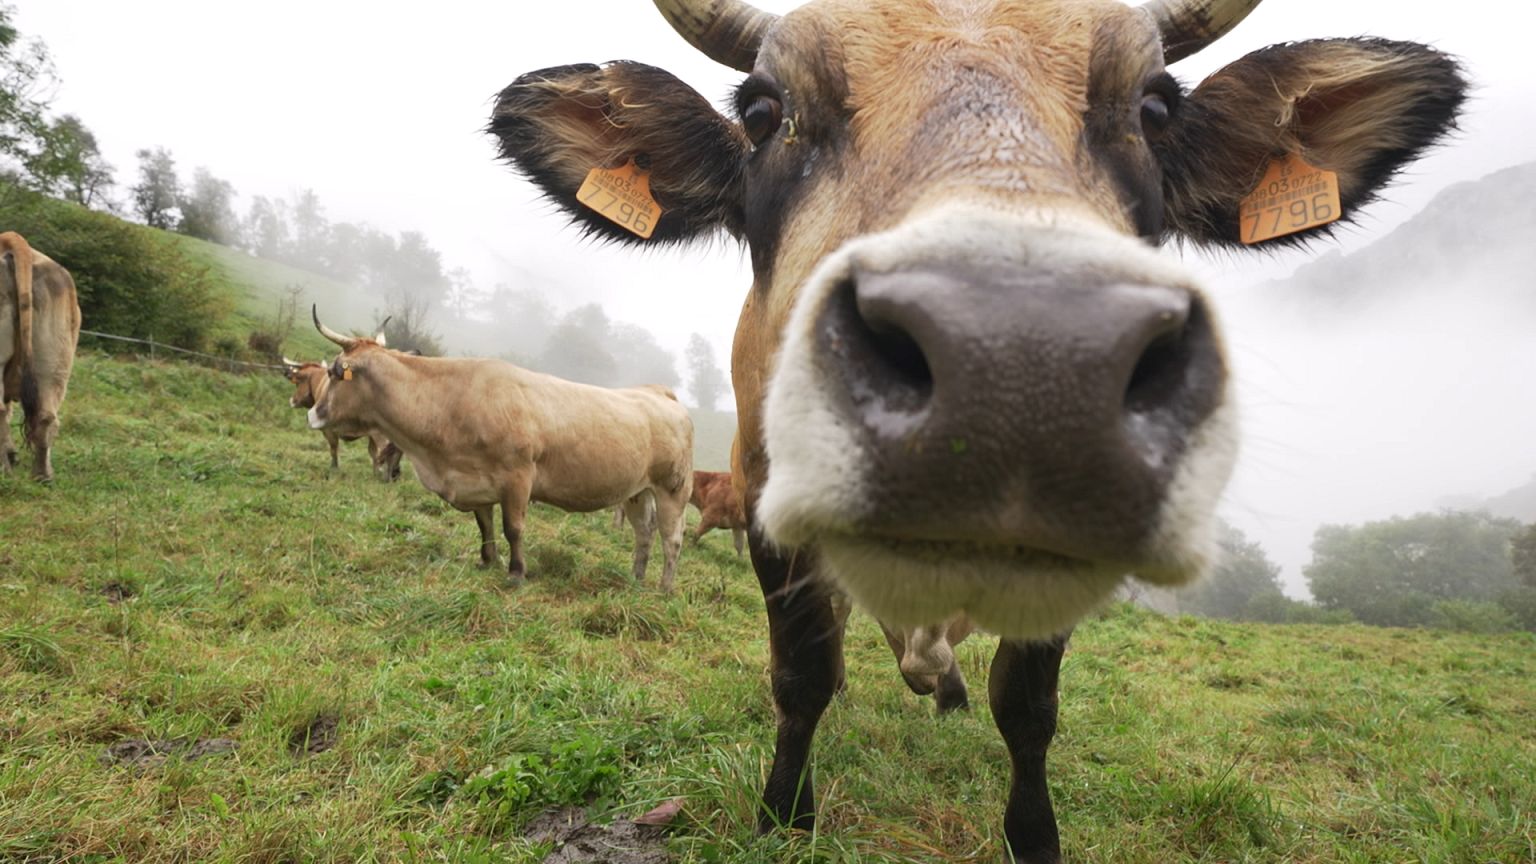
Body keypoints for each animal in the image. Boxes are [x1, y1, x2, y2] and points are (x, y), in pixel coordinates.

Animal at [306, 308, 695, 590]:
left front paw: (516, 573)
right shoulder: (477, 481)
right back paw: (636, 579)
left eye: (337, 371)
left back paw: (664, 588)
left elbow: (514, 528)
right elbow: (485, 524)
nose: (312, 413)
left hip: (673, 489)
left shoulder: (517, 478)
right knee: (644, 533)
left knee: (672, 539)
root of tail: (660, 393)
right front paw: (486, 561)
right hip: (637, 491)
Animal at [486, 0, 1466, 858]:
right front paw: (784, 815)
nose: (1022, 360)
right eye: (765, 112)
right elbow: (803, 673)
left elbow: (1026, 706)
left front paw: (1031, 832)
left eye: (1153, 107)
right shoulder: (764, 498)